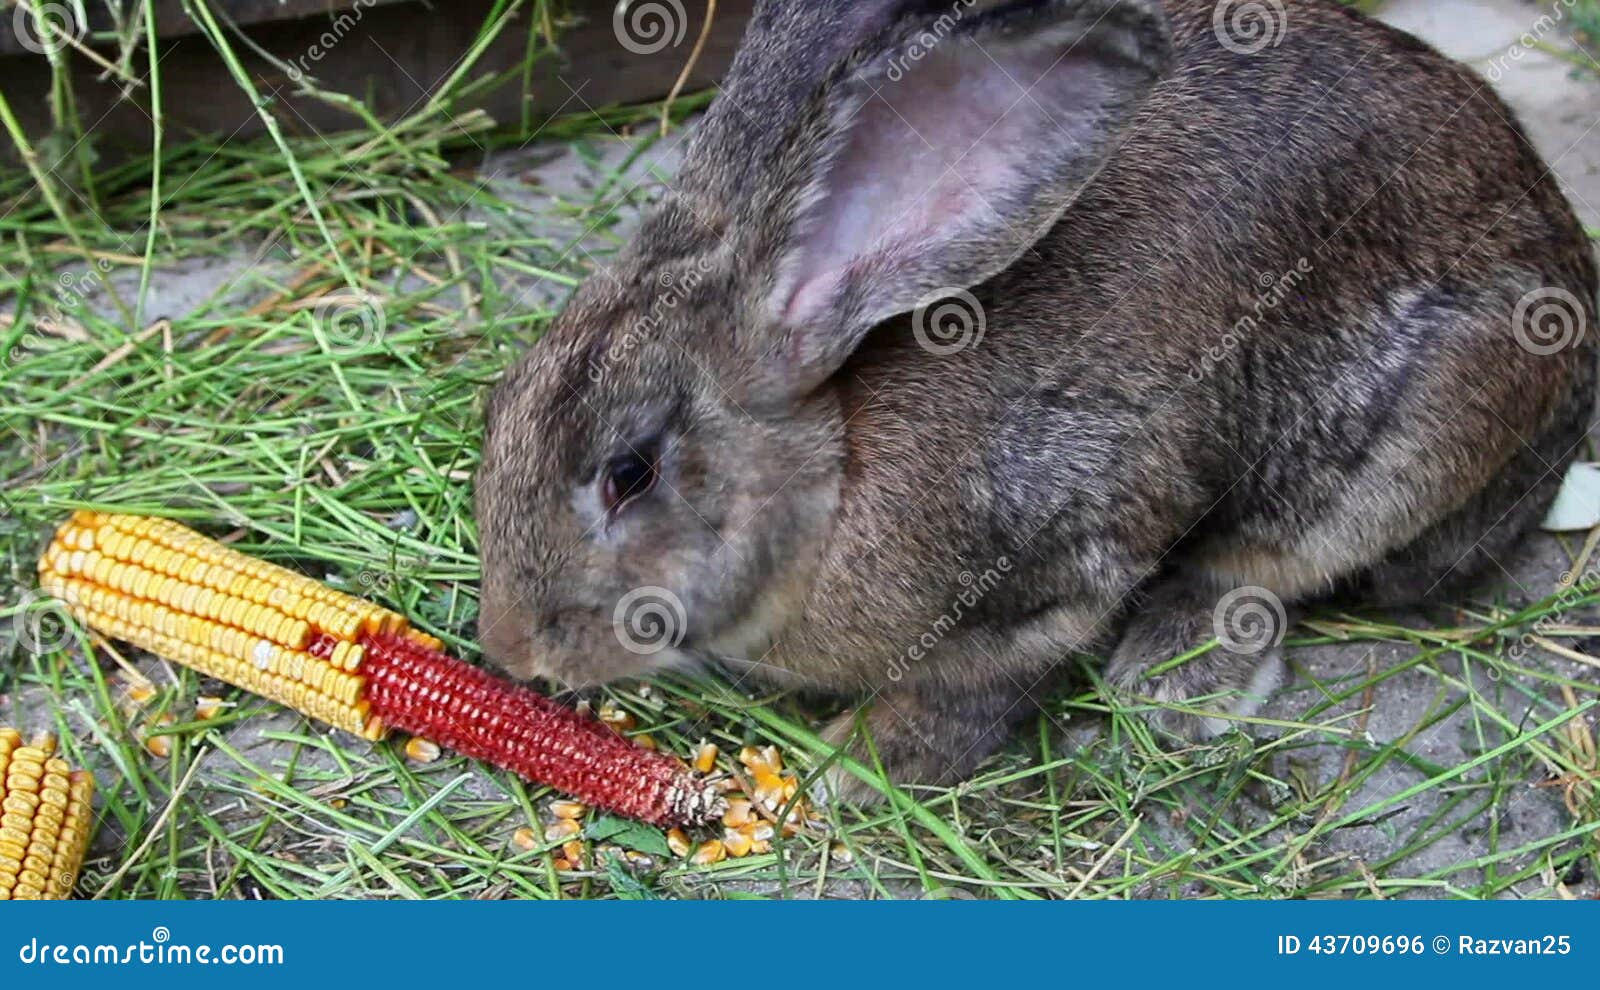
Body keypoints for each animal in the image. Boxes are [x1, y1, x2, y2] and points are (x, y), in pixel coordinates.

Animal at [475, 0, 1598, 802]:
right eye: (498, 410)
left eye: (629, 473)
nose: (512, 651)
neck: (836, 470)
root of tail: (1558, 248)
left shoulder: (1053, 572)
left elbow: (971, 691)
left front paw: (858, 767)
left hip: (1397, 445)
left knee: (1269, 567)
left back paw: (1176, 679)